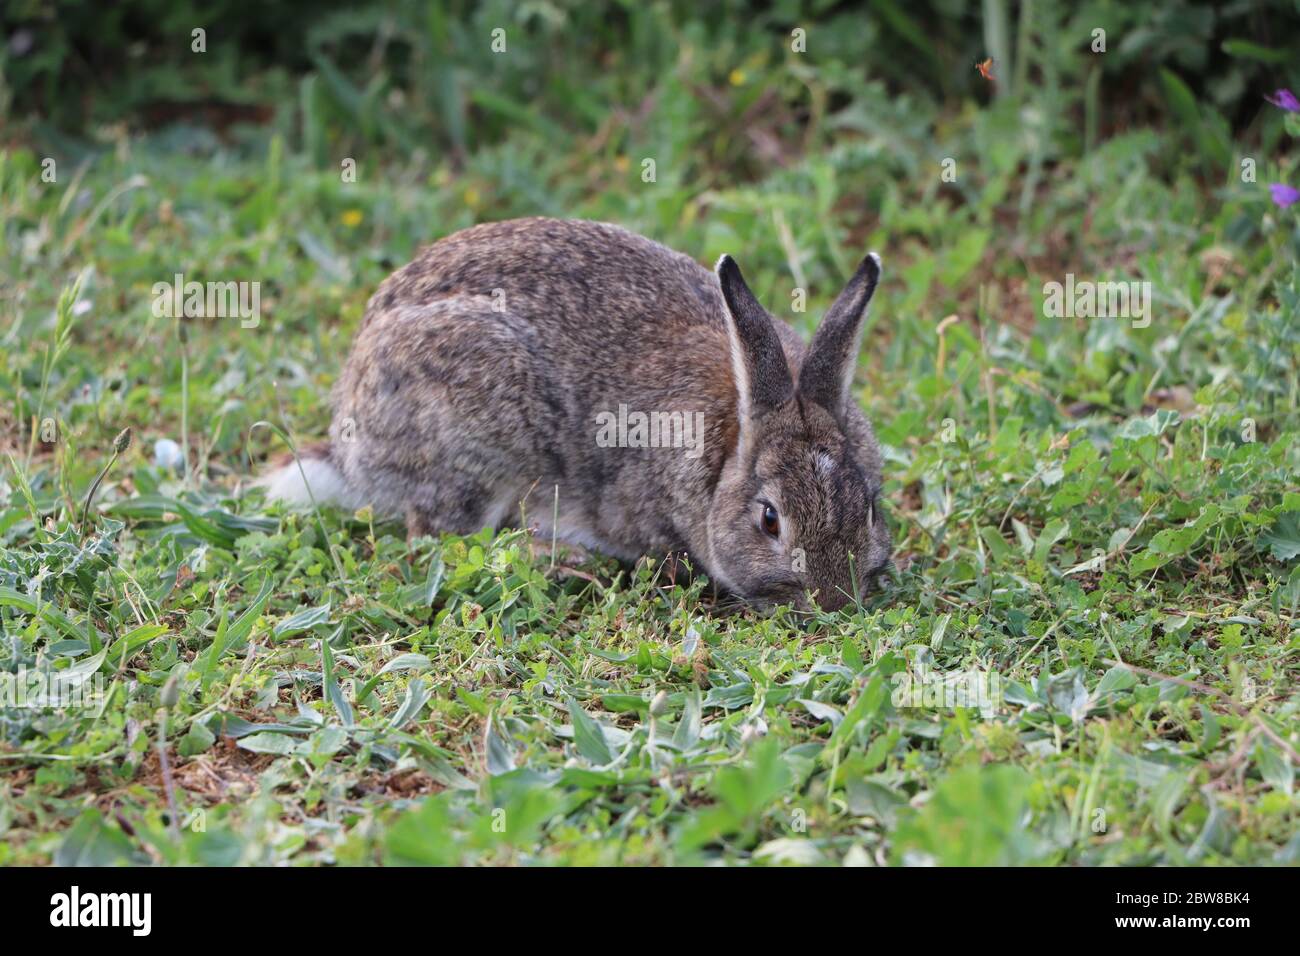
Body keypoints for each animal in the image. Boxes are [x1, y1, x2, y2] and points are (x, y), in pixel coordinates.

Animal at [260, 217, 892, 610]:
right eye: (769, 520)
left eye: (869, 507)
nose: (833, 600)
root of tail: (349, 447)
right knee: (436, 535)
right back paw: (558, 558)